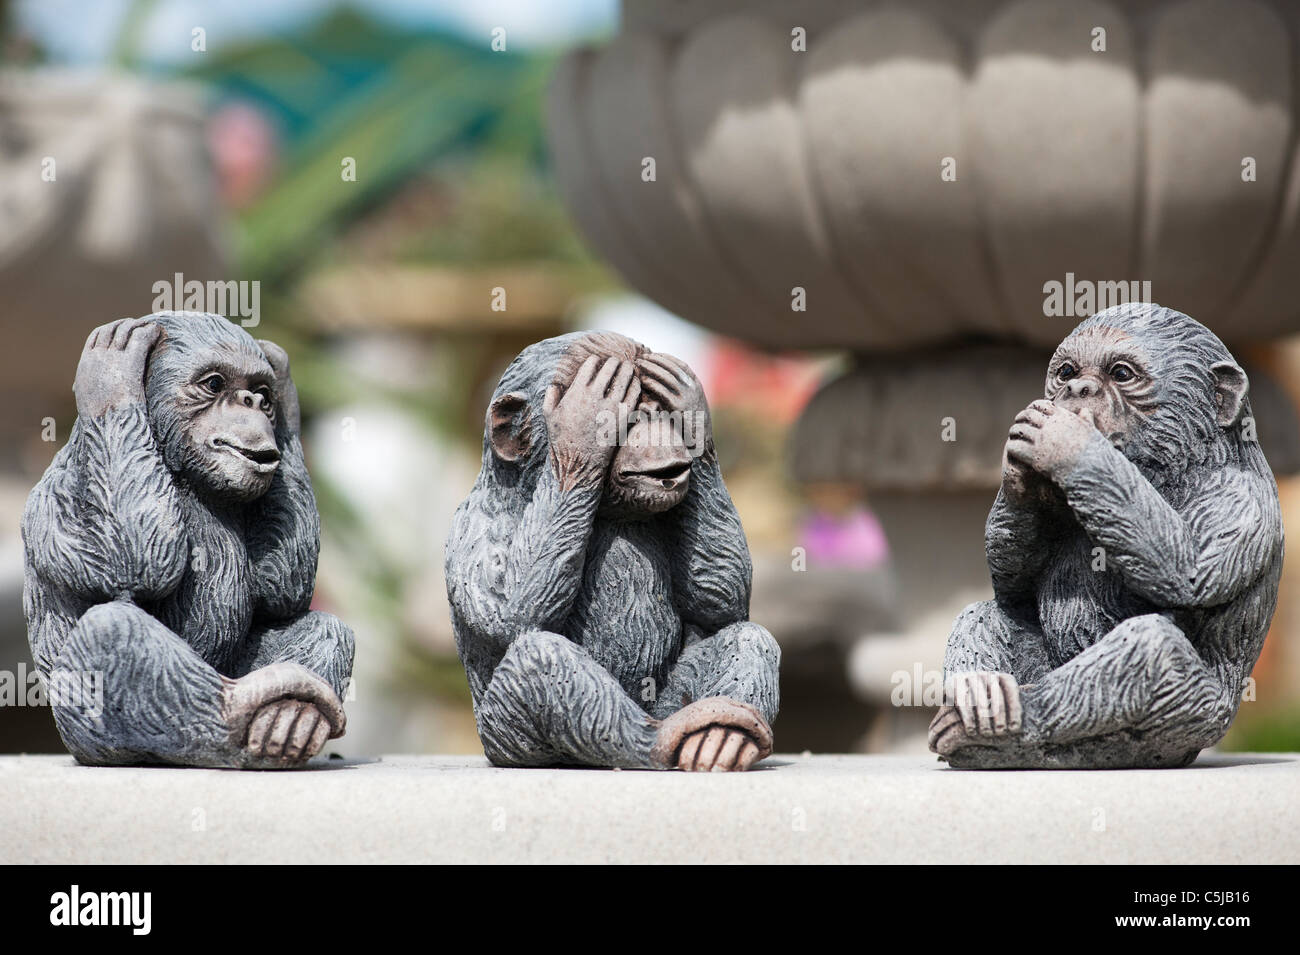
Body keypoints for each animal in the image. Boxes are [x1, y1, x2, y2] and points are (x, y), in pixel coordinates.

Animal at [22, 312, 354, 769]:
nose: (251, 402)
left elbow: (282, 592)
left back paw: (289, 717)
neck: (186, 475)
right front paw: (109, 377)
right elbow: (135, 564)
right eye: (214, 384)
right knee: (113, 629)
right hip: (91, 738)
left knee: (325, 626)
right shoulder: (56, 497)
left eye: (263, 393)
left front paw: (285, 378)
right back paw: (241, 713)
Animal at [445, 331, 780, 771]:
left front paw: (691, 407)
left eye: (661, 416)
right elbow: (511, 615)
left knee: (747, 637)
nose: (659, 437)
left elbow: (721, 606)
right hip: (507, 742)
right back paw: (658, 740)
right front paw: (580, 421)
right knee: (540, 658)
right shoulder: (470, 531)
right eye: (627, 421)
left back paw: (722, 737)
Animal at [928, 303, 1283, 768]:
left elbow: (1188, 569)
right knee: (986, 614)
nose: (1077, 388)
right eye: (1066, 371)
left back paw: (1009, 721)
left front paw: (1070, 441)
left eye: (1121, 373)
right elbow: (1013, 593)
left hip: (1194, 726)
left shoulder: (1242, 502)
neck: (1170, 468)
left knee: (1149, 650)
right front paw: (1020, 470)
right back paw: (983, 693)